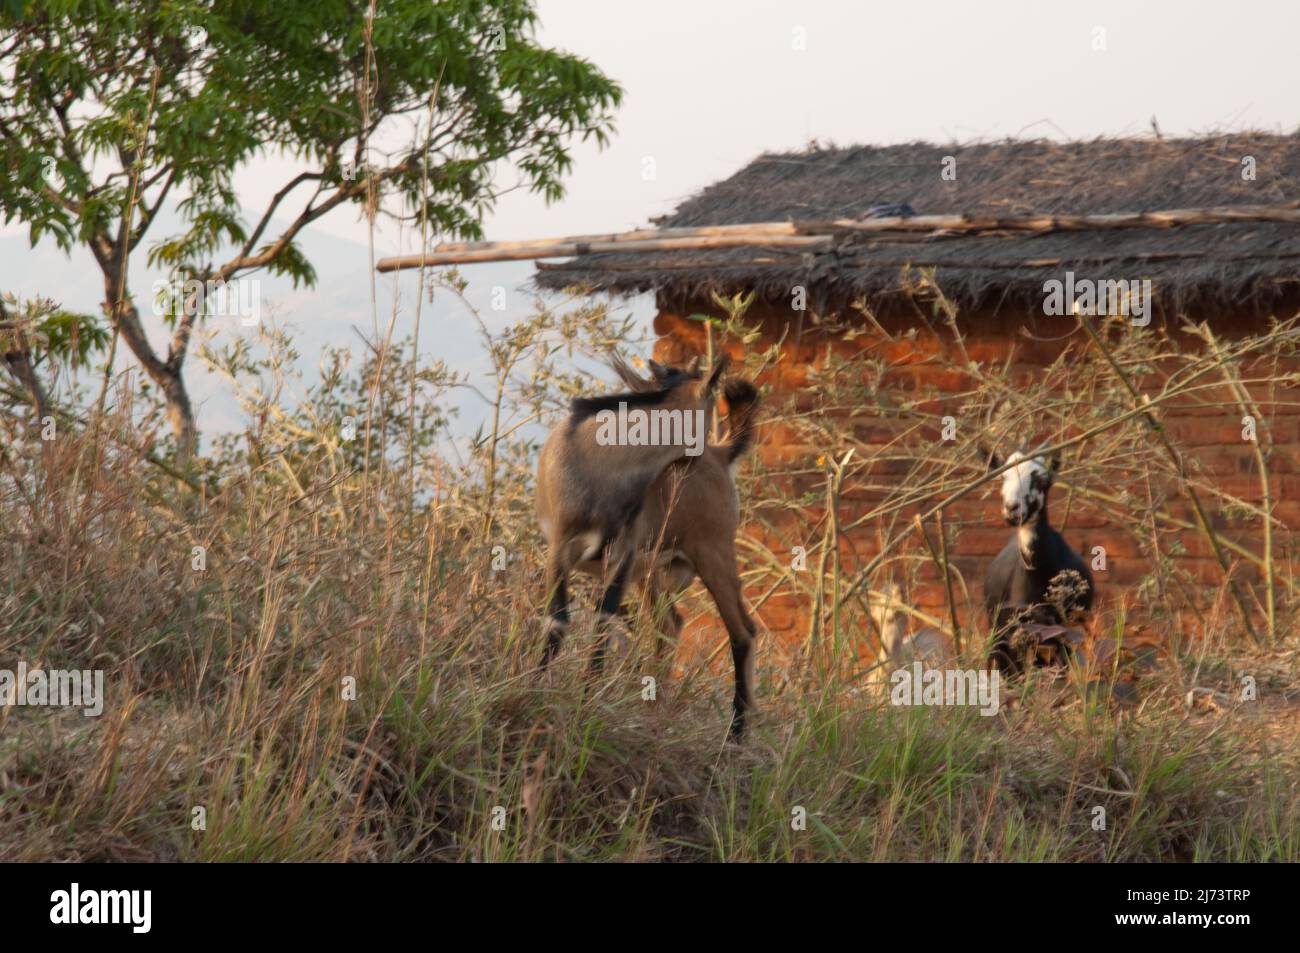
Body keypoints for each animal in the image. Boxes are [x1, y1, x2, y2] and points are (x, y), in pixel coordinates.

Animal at [535, 355, 762, 736]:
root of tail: (723, 453)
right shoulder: (560, 548)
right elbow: (557, 621)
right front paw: (531, 685)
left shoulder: (621, 555)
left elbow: (602, 624)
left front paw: (584, 704)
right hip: (655, 572)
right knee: (669, 625)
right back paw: (654, 712)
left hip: (713, 553)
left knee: (742, 631)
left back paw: (736, 736)